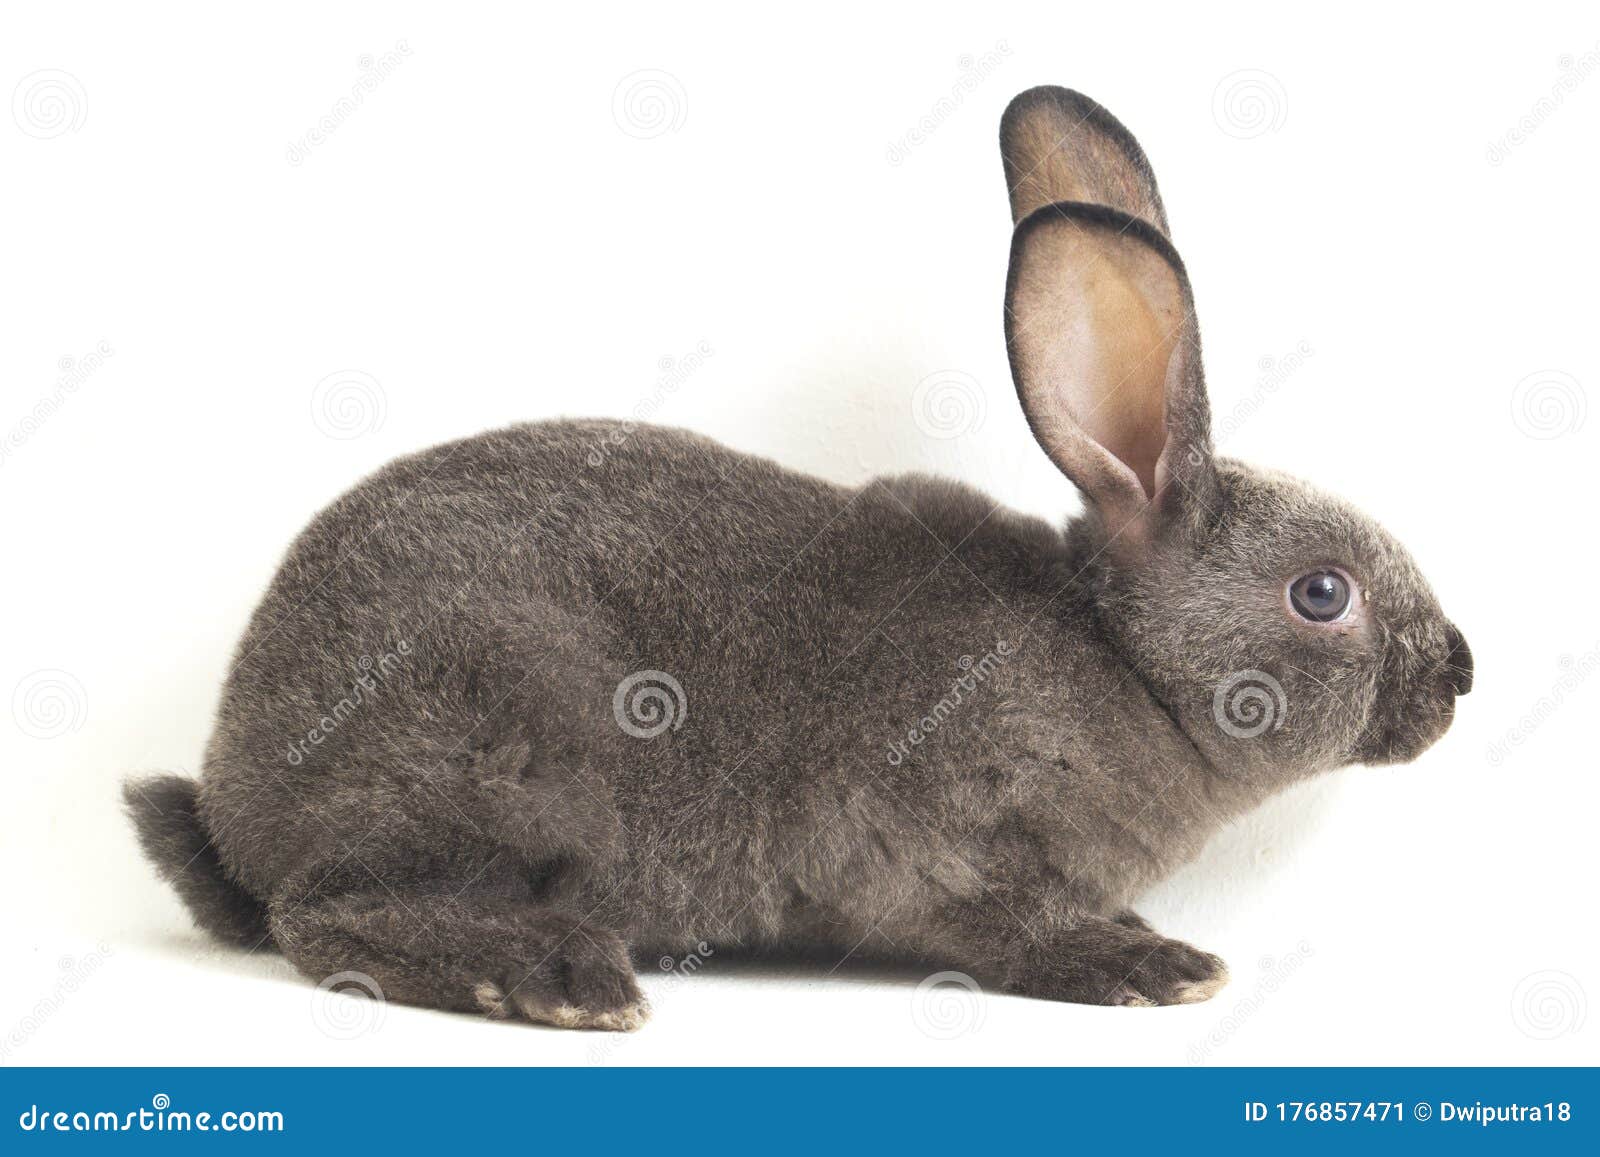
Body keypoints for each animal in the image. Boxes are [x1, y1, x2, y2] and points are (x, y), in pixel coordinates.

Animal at [125, 85, 1472, 1030]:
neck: (1128, 666)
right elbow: (1009, 924)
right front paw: (1149, 961)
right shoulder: (949, 836)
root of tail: (233, 795)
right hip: (494, 751)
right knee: (322, 911)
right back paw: (559, 976)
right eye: (1321, 593)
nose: (1459, 672)